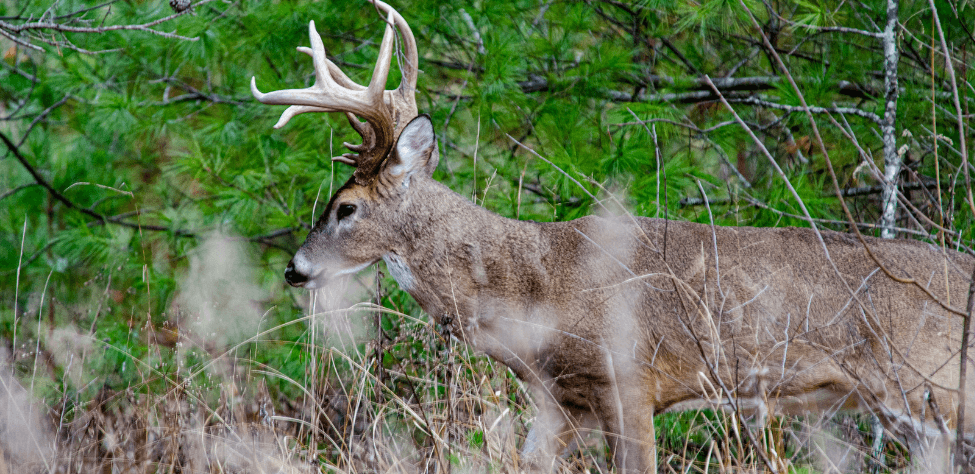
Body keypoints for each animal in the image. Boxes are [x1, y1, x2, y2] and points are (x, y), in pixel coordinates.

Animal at [251, 2, 975, 471]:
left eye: (345, 207)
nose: (293, 268)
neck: (533, 286)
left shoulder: (629, 378)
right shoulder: (561, 403)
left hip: (928, 387)